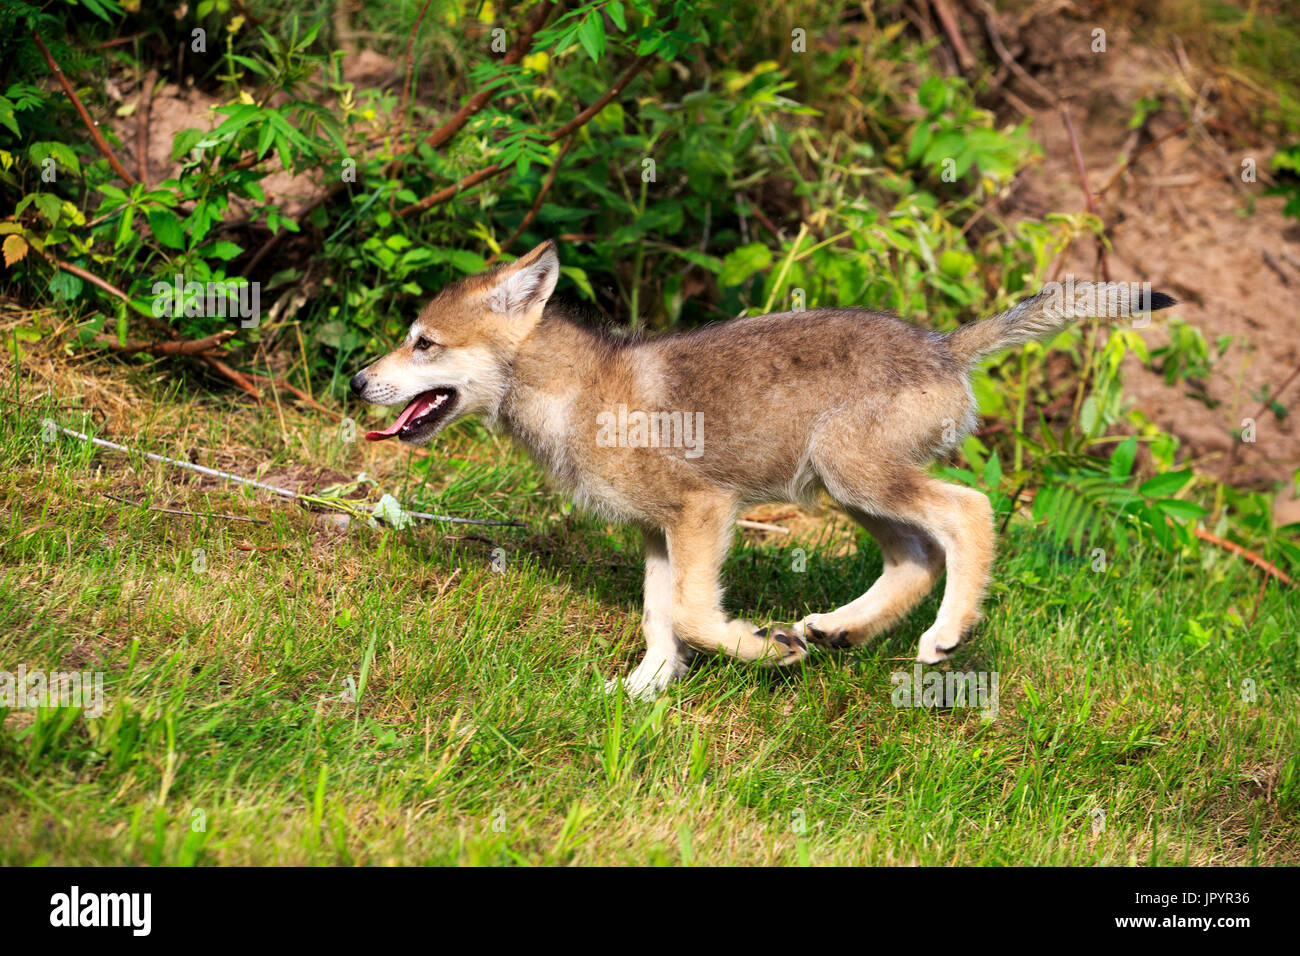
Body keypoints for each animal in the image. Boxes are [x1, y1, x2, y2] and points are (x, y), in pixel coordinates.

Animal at [351, 239, 1173, 699]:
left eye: (423, 343)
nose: (356, 383)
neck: (581, 396)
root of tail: (945, 346)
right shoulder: (659, 534)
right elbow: (661, 621)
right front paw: (642, 695)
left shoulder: (703, 511)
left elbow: (691, 615)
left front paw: (756, 652)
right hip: (848, 487)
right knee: (914, 559)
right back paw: (835, 631)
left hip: (856, 474)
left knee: (969, 512)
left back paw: (944, 635)